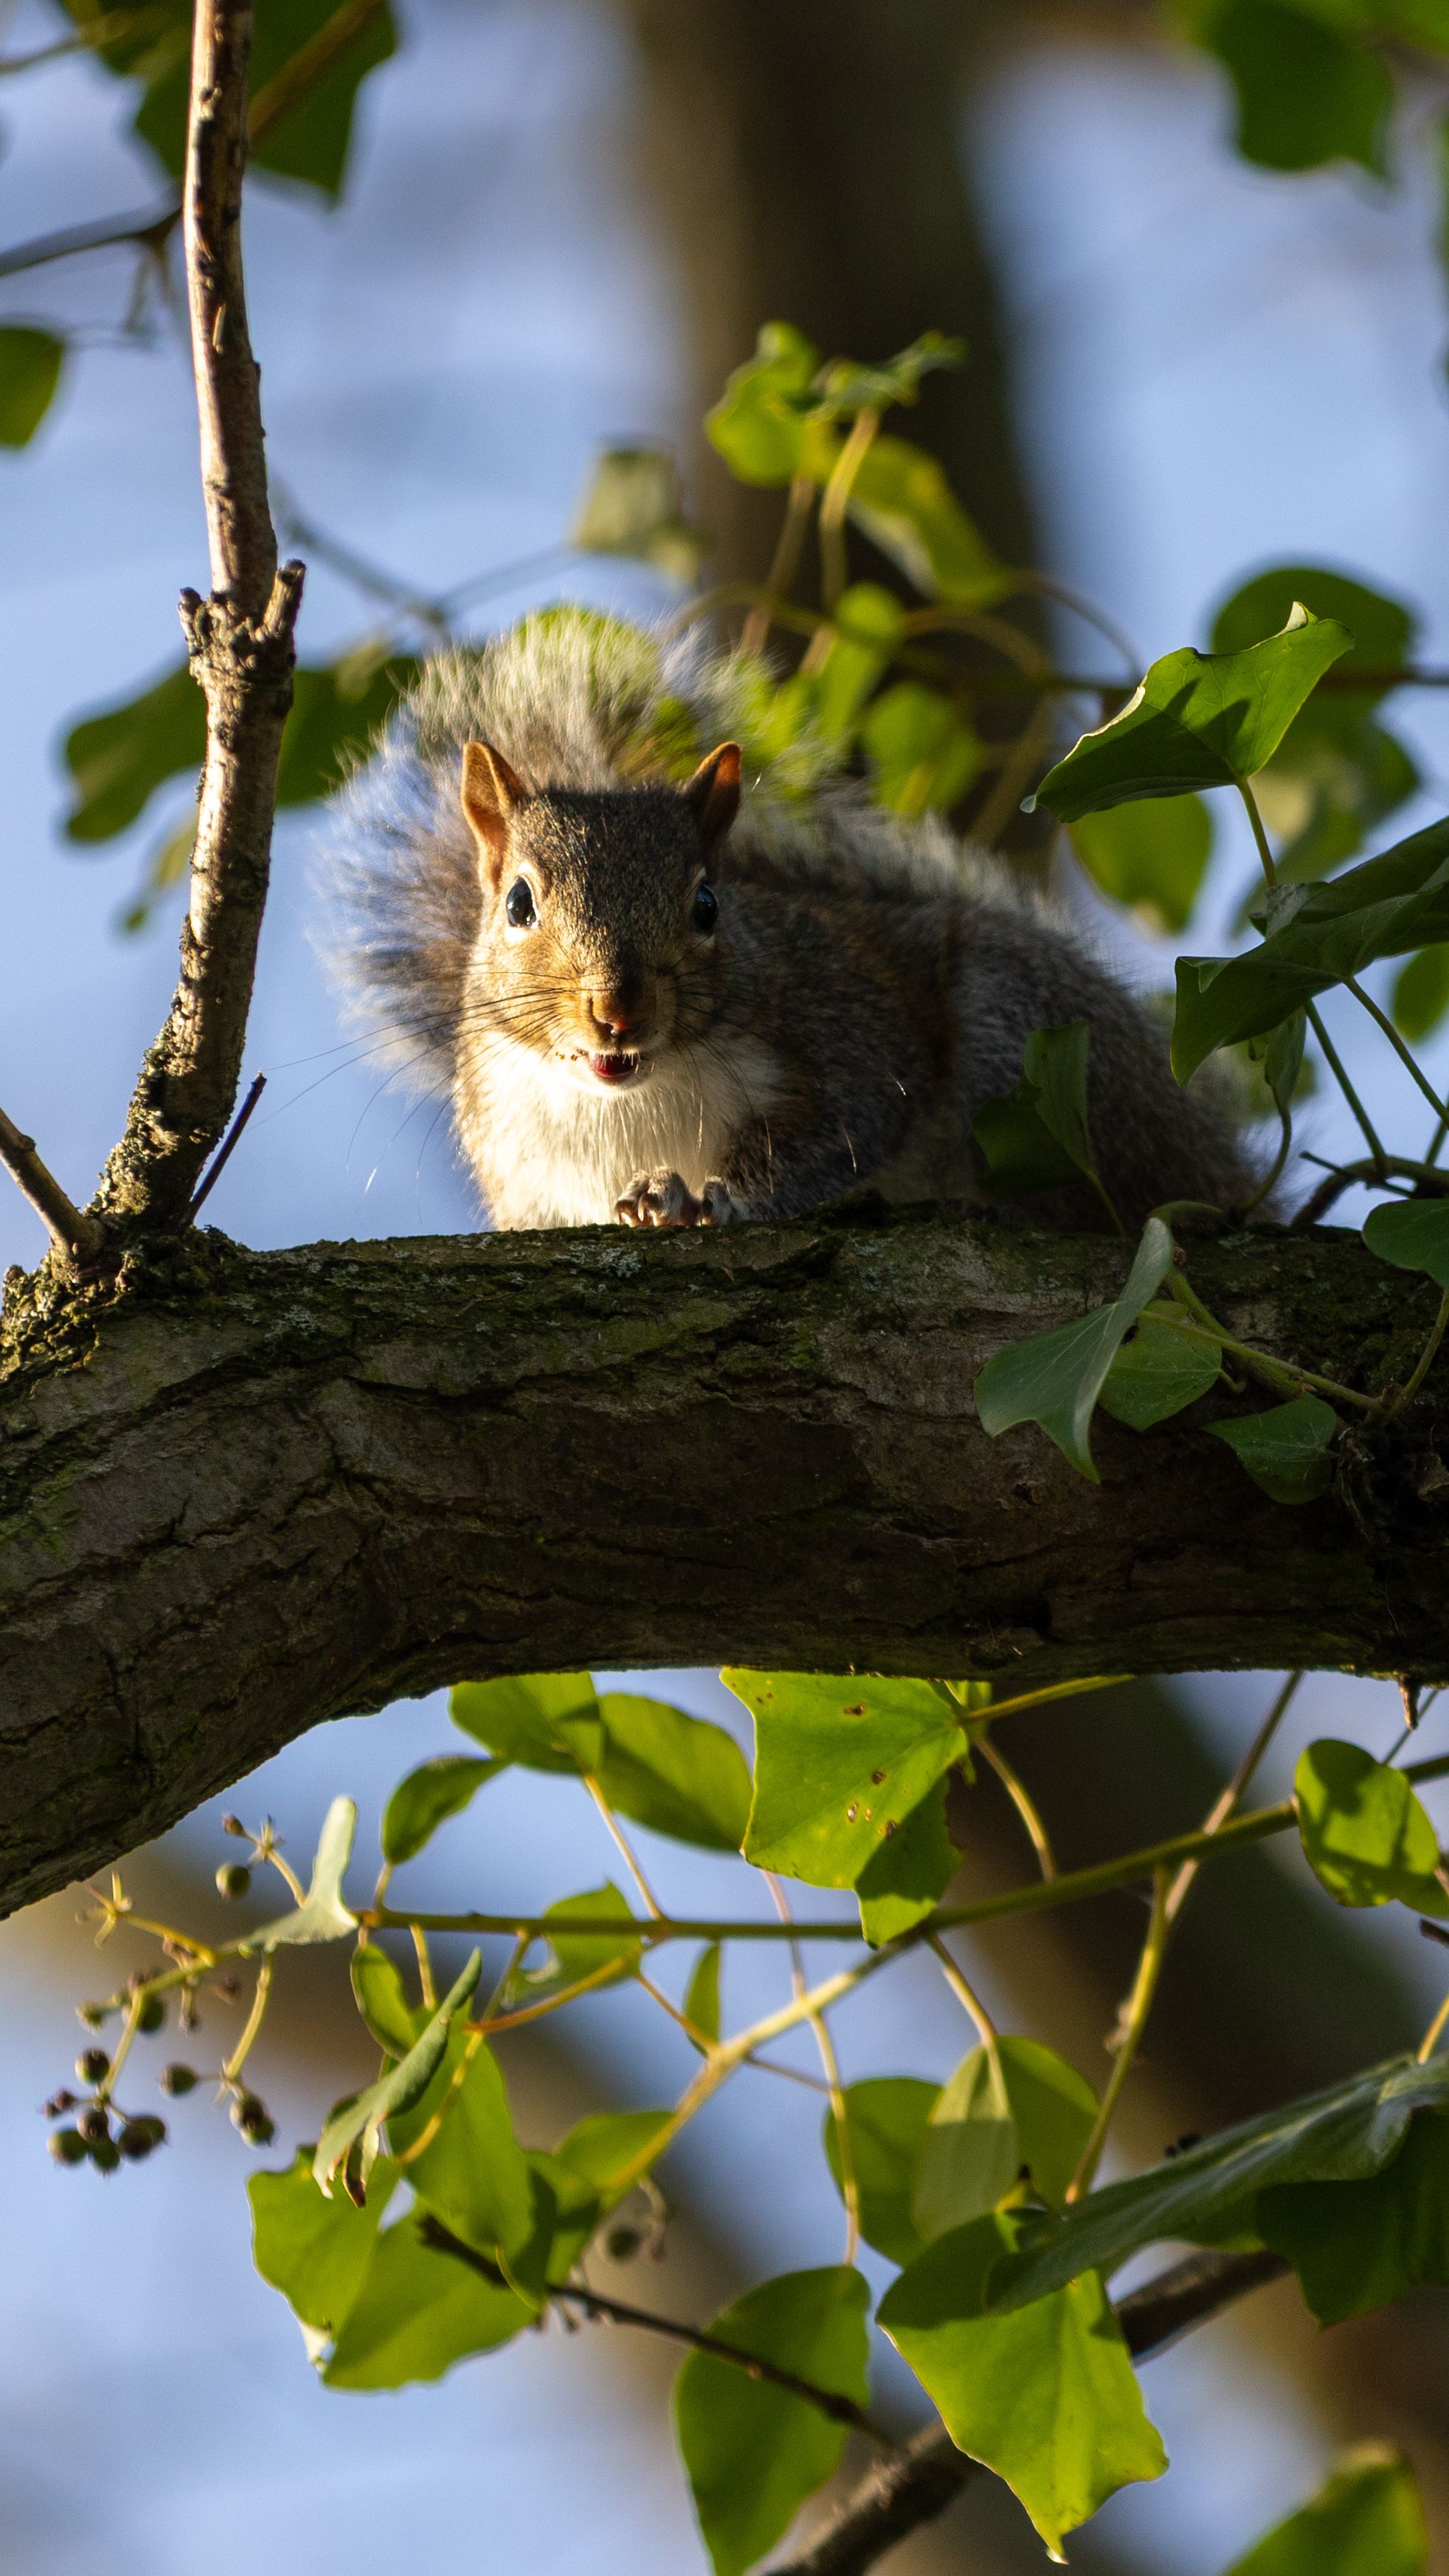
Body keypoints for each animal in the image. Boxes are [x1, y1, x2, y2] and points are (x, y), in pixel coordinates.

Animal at [331, 609, 1253, 1233]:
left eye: (706, 904)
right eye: (518, 904)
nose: (618, 1010)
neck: (633, 1098)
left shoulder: (847, 1037)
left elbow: (829, 1141)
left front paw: (696, 1194)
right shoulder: (527, 1177)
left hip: (1027, 1036)